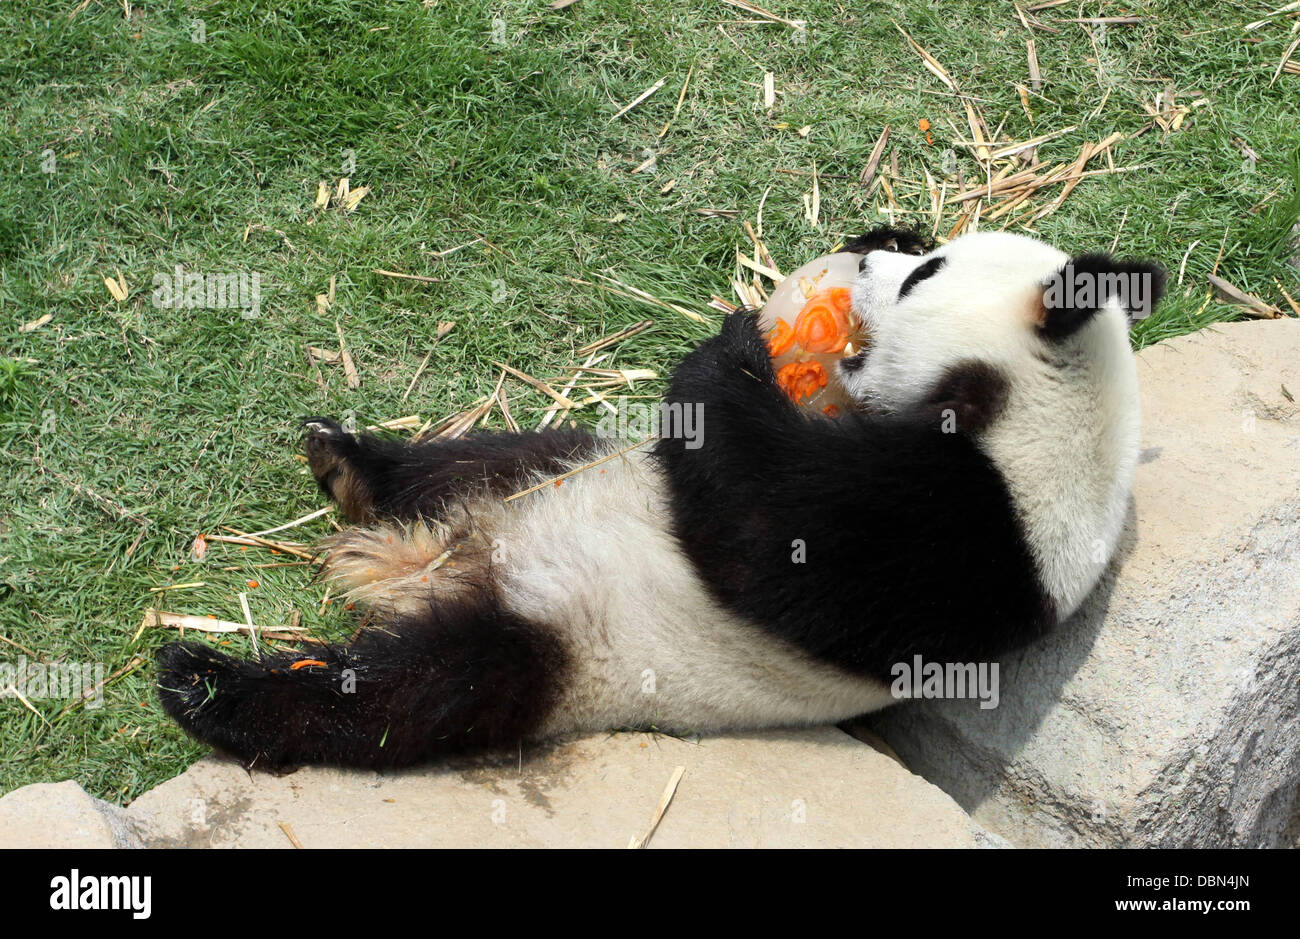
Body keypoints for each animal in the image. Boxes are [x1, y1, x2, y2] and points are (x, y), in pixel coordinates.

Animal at [157, 226, 1165, 771]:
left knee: (415, 693)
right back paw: (350, 464)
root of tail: (458, 563)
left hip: (566, 650)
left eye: (923, 283)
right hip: (569, 466)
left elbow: (772, 537)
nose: (874, 260)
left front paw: (737, 345)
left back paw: (208, 684)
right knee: (487, 458)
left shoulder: (973, 536)